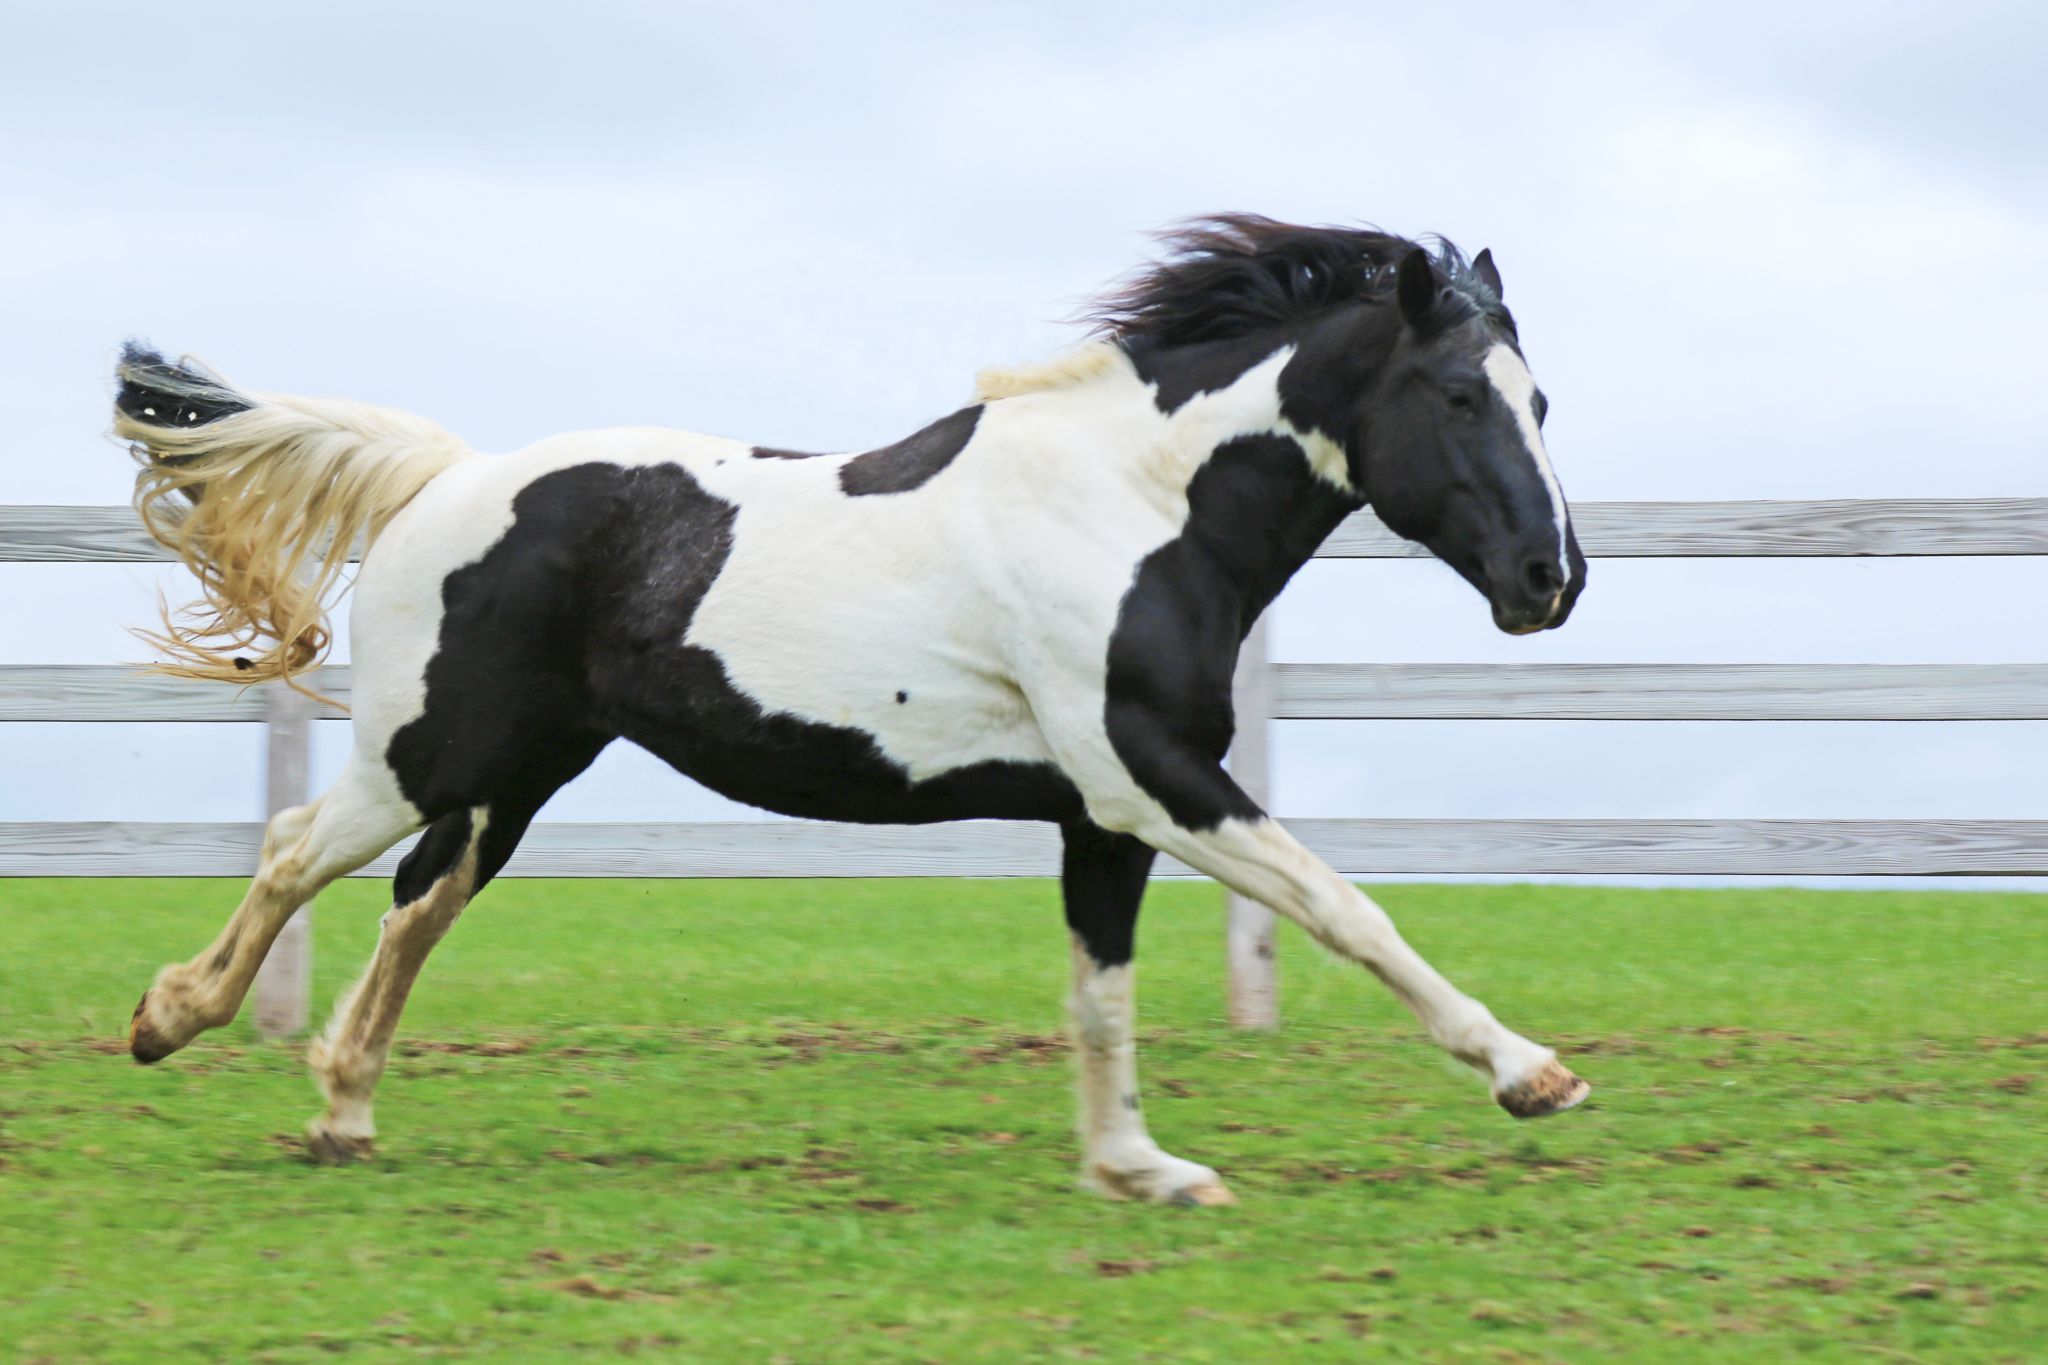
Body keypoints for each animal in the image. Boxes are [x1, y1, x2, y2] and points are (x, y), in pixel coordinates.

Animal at [115, 215, 1588, 1205]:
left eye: (1544, 398)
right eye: (1460, 393)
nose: (1549, 579)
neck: (1135, 507)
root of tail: (451, 477)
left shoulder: (1103, 809)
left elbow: (1100, 988)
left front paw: (1135, 1167)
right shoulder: (1150, 775)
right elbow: (1345, 909)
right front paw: (1532, 1074)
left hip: (515, 773)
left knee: (417, 901)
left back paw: (342, 1115)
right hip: (427, 753)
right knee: (295, 850)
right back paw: (170, 1019)